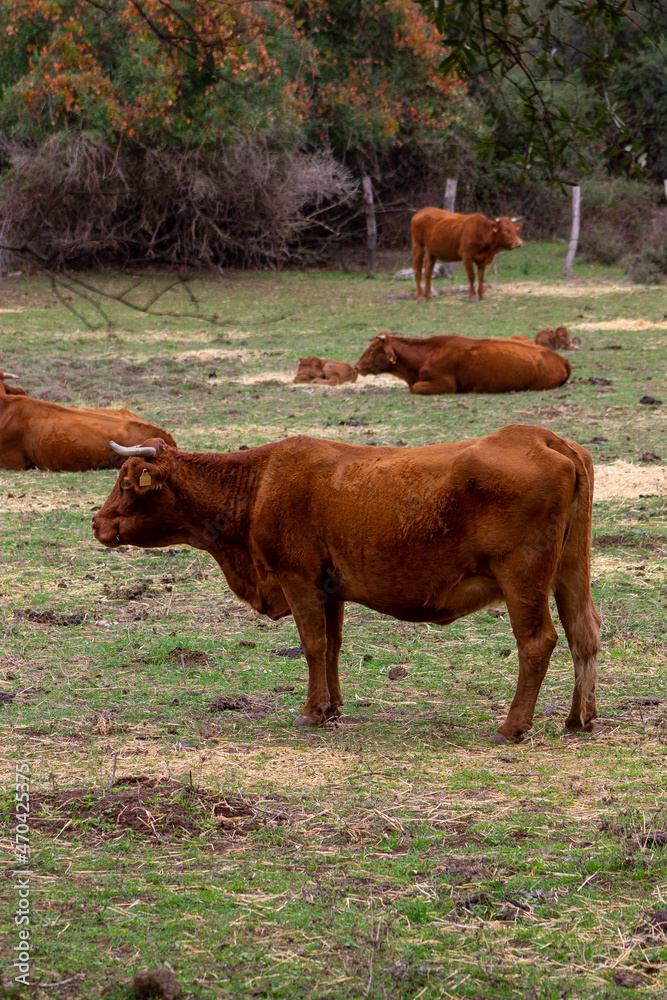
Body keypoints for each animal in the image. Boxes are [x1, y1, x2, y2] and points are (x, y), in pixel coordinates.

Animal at [92, 426, 601, 745]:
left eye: (126, 483)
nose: (96, 522)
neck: (260, 483)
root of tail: (543, 438)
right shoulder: (329, 589)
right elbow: (333, 645)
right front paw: (333, 706)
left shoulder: (297, 579)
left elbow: (314, 644)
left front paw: (312, 710)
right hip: (571, 571)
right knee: (584, 634)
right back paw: (580, 718)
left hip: (523, 579)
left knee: (538, 642)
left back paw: (512, 727)